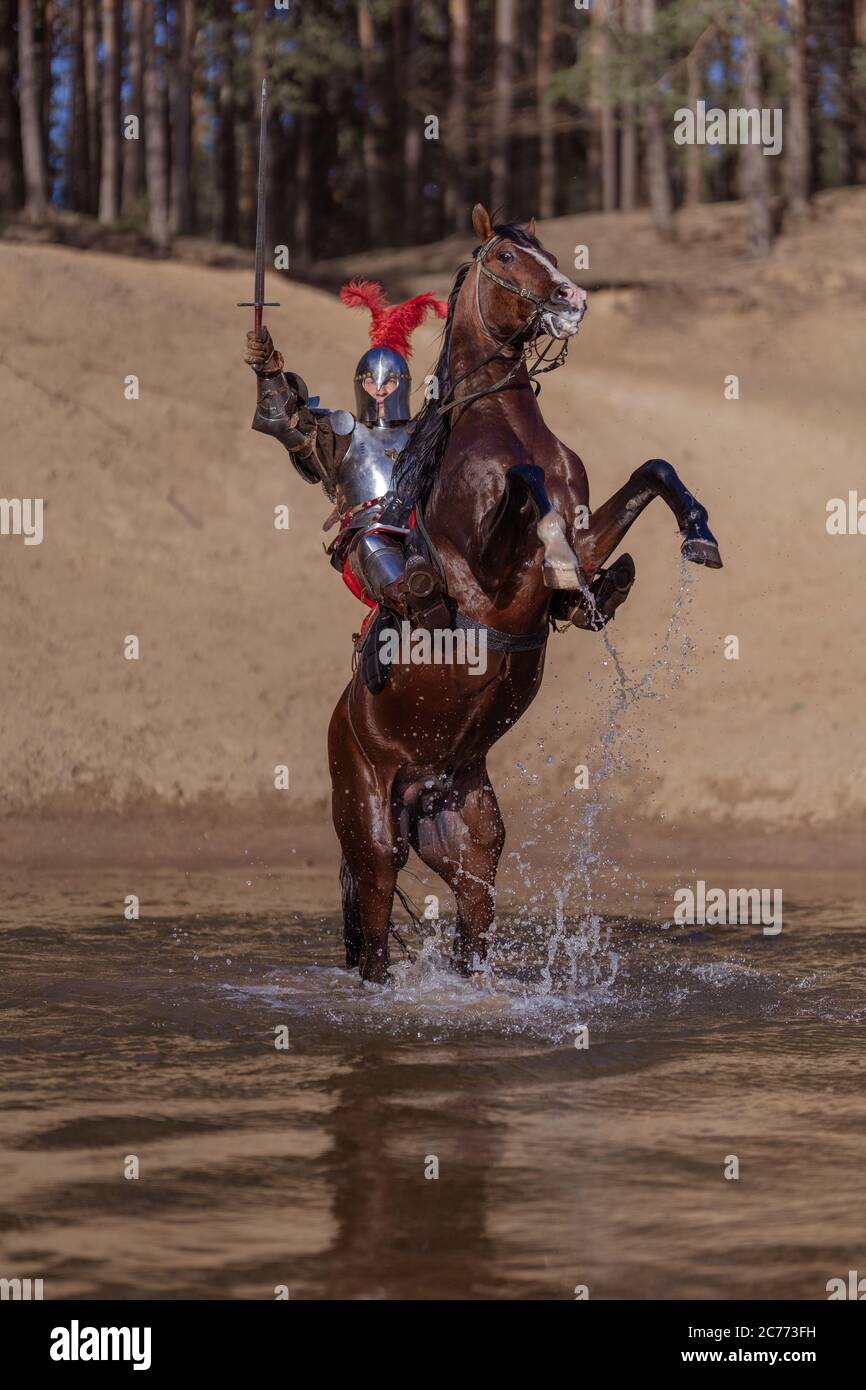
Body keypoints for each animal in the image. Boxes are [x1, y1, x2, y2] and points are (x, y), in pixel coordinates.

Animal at [329, 203, 722, 983]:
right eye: (507, 258)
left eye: (550, 254)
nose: (572, 298)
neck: (501, 422)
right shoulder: (486, 570)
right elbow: (525, 486)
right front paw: (565, 558)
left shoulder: (587, 530)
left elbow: (653, 470)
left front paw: (696, 534)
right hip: (373, 835)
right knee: (376, 944)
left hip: (471, 841)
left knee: (470, 930)